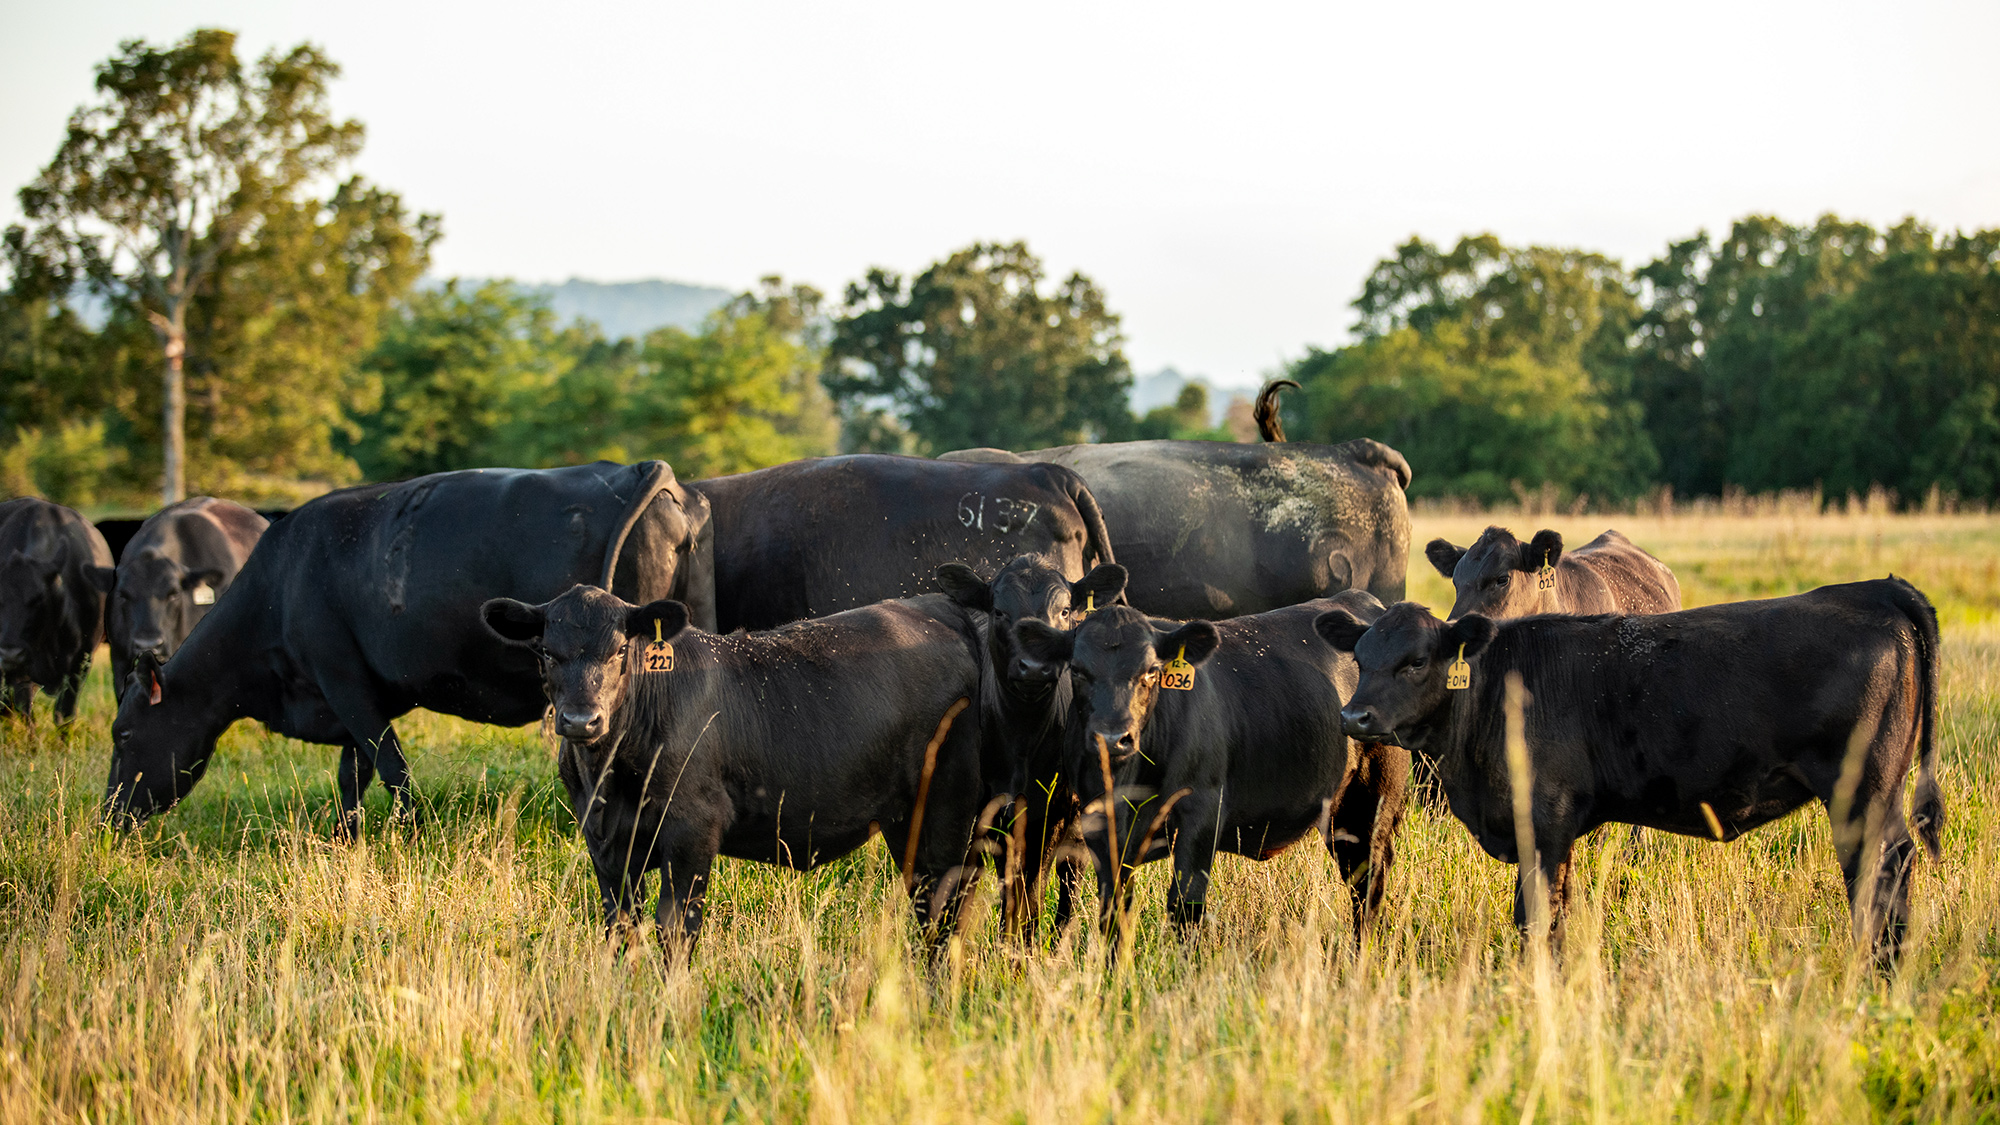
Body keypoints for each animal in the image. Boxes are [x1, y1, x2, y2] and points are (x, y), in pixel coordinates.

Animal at [0, 498, 115, 722]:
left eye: (39, 598)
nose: (10, 654)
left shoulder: (80, 663)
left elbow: (64, 714)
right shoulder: (20, 672)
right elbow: (23, 712)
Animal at [479, 586, 989, 959]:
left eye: (621, 649)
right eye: (546, 652)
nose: (581, 720)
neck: (609, 773)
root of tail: (935, 606)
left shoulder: (692, 828)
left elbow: (674, 928)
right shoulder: (605, 842)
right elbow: (621, 928)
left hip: (951, 803)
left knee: (948, 902)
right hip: (906, 818)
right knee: (926, 900)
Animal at [934, 555, 1128, 938]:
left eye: (1065, 610)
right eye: (999, 611)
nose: (1036, 667)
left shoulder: (1053, 811)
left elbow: (1032, 889)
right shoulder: (984, 811)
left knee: (1069, 883)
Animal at [1013, 591, 1409, 942]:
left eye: (1151, 671)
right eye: (1078, 671)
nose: (1112, 737)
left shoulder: (1201, 816)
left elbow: (1185, 908)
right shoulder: (1099, 828)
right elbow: (1114, 911)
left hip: (1371, 804)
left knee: (1369, 882)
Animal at [1317, 577, 1944, 966]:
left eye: (1416, 661)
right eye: (1360, 659)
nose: (1353, 716)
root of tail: (1876, 590)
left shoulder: (1542, 824)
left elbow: (1535, 914)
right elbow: (1557, 913)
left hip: (1863, 792)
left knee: (1882, 871)